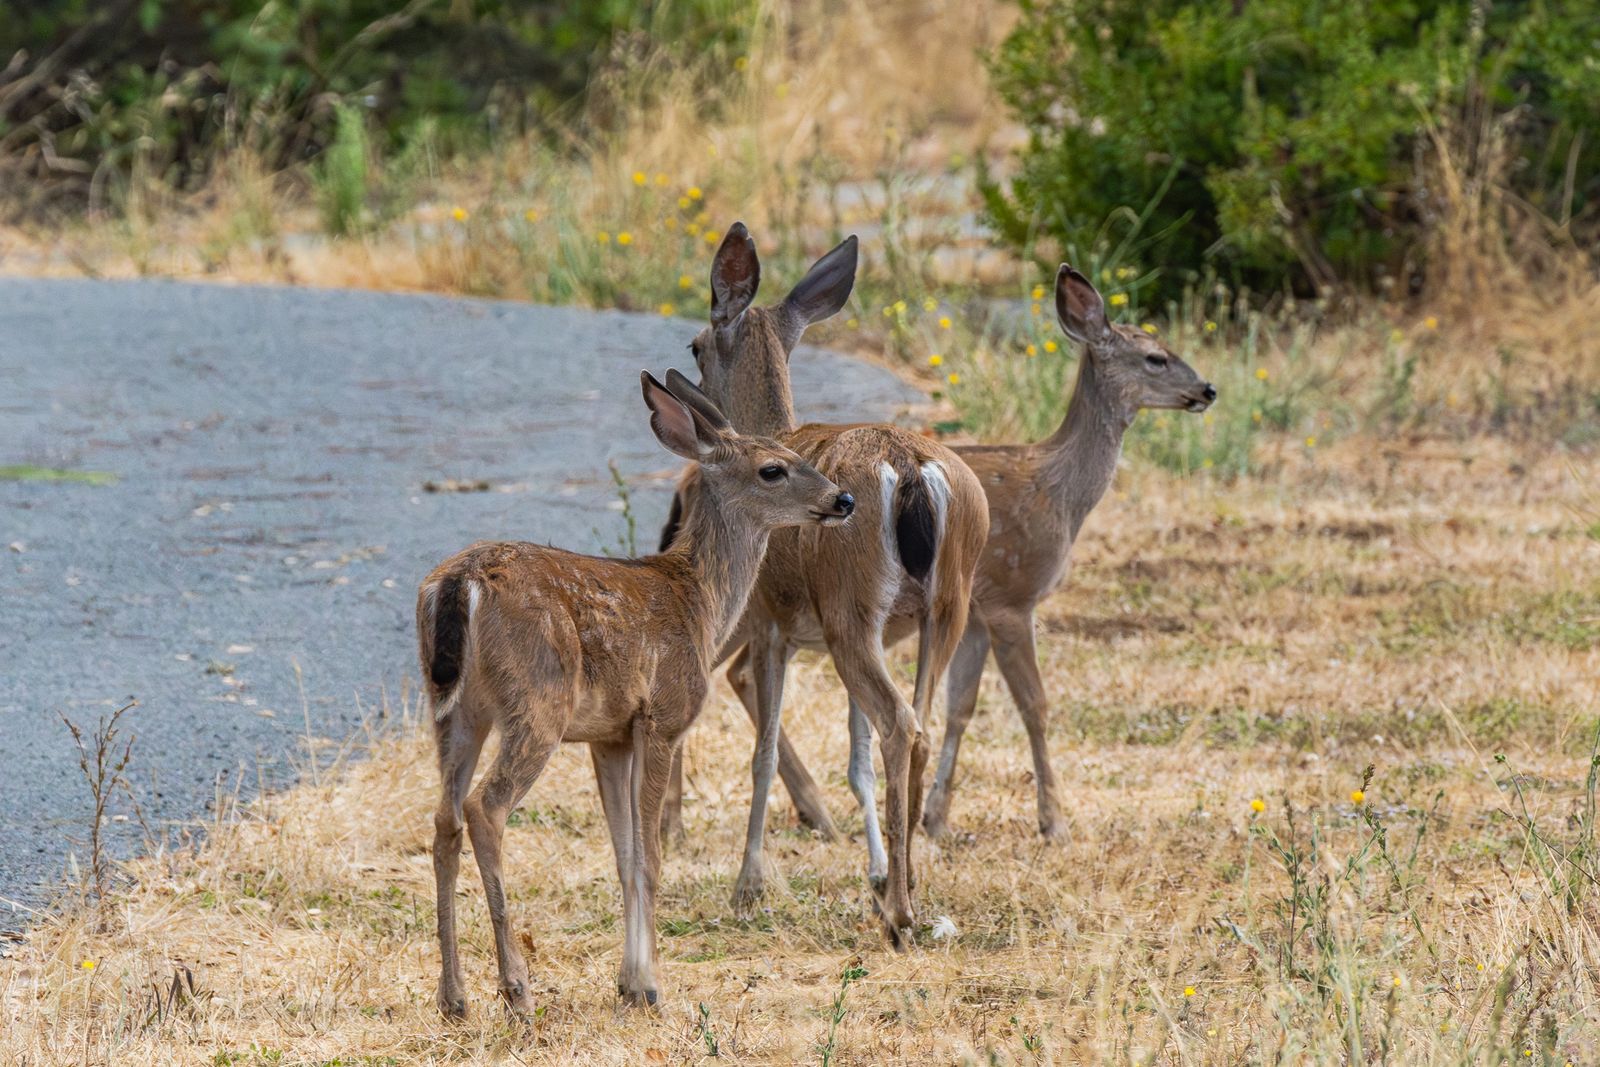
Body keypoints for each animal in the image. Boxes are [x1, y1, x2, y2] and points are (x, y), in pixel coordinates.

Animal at [417, 369, 854, 1017]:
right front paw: (650, 985)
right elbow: (650, 856)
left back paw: (453, 997)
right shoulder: (663, 717)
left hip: (454, 710)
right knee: (483, 808)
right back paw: (516, 989)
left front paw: (627, 981)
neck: (700, 602)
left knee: (444, 817)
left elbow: (623, 856)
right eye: (773, 468)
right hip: (538, 702)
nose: (842, 500)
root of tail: (460, 581)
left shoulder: (610, 737)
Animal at [660, 223, 989, 947]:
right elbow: (856, 756)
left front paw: (748, 886)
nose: (690, 388)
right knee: (918, 727)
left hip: (848, 607)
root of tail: (912, 469)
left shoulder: (769, 620)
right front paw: (873, 870)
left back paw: (899, 911)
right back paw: (904, 890)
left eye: (695, 344)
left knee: (899, 724)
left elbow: (760, 749)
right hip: (942, 604)